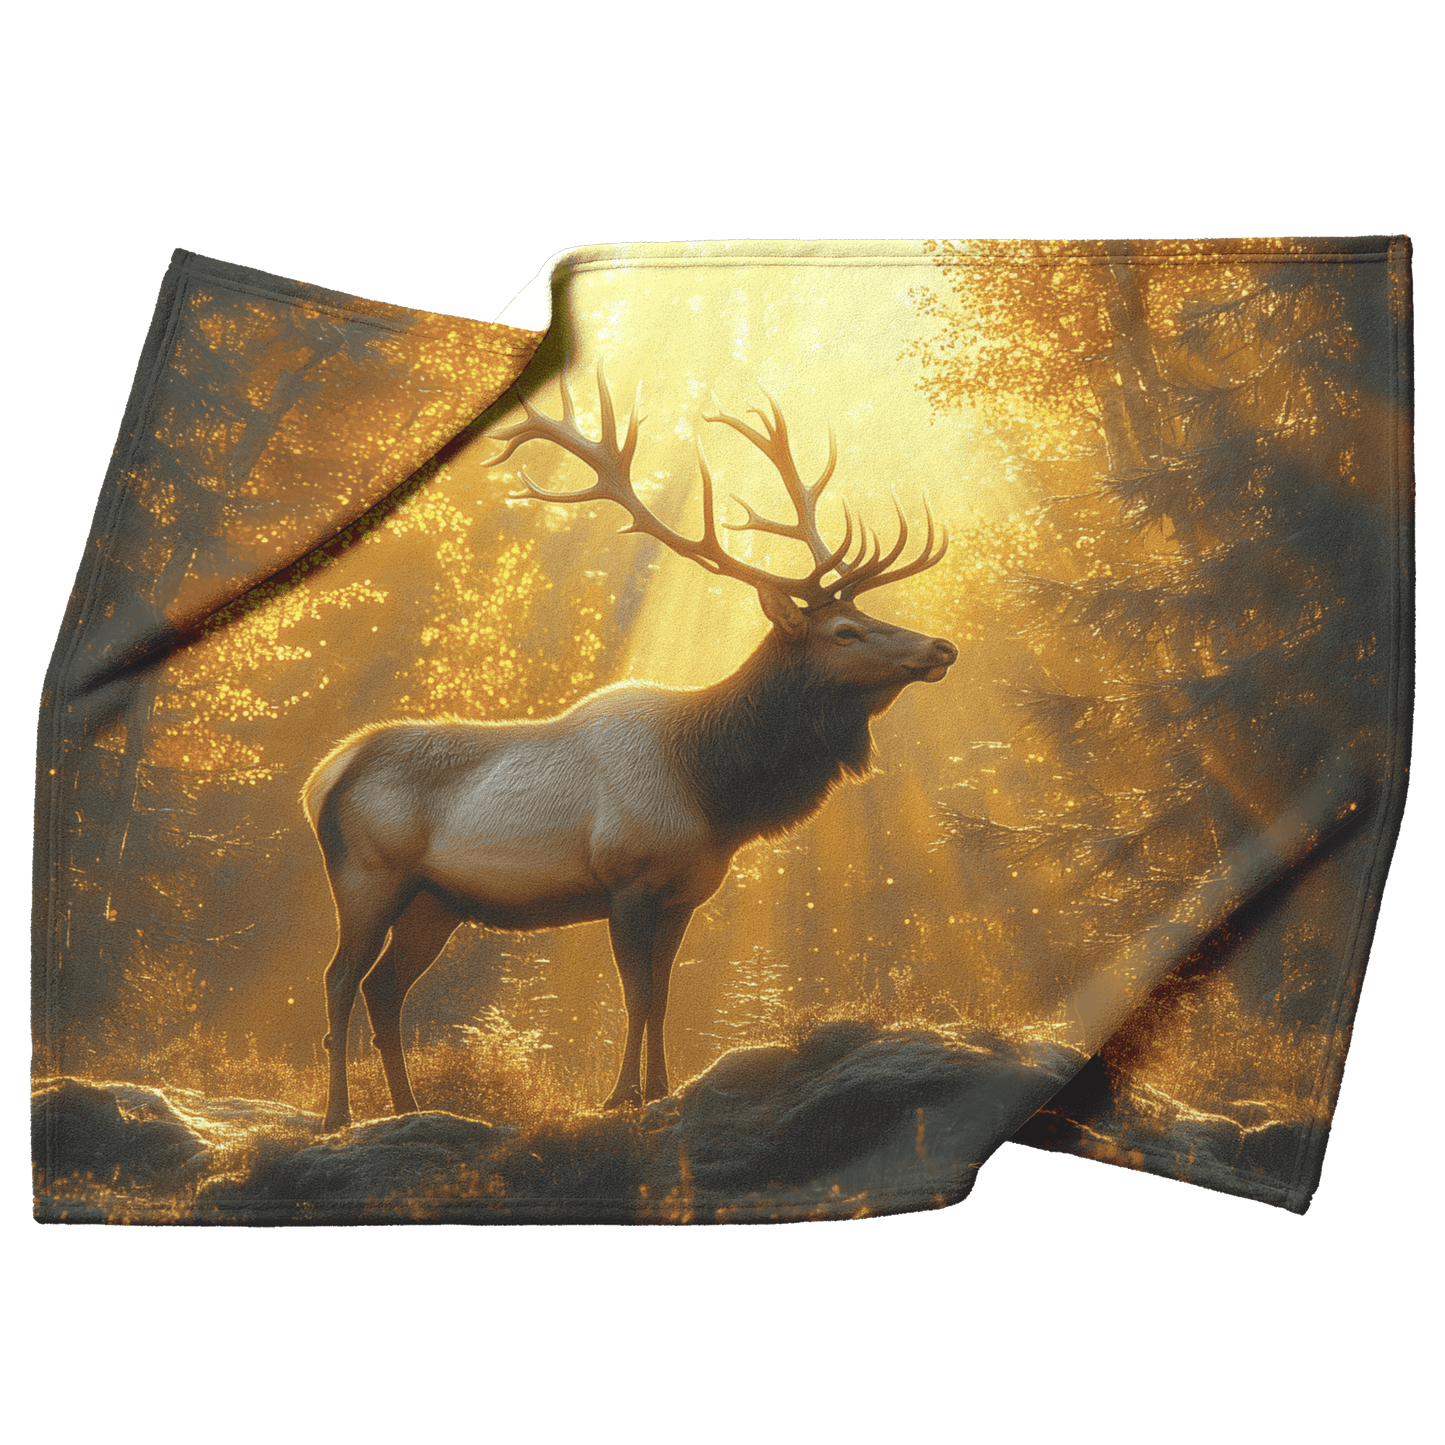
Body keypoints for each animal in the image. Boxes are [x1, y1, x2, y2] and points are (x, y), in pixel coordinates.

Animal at [304, 367, 956, 1131]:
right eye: (845, 631)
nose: (940, 647)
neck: (714, 794)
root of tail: (326, 775)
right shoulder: (626, 879)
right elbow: (636, 995)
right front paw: (620, 1096)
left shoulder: (684, 893)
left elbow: (664, 997)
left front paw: (662, 1089)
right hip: (369, 875)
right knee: (339, 978)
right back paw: (338, 1116)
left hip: (435, 902)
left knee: (385, 989)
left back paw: (409, 1110)